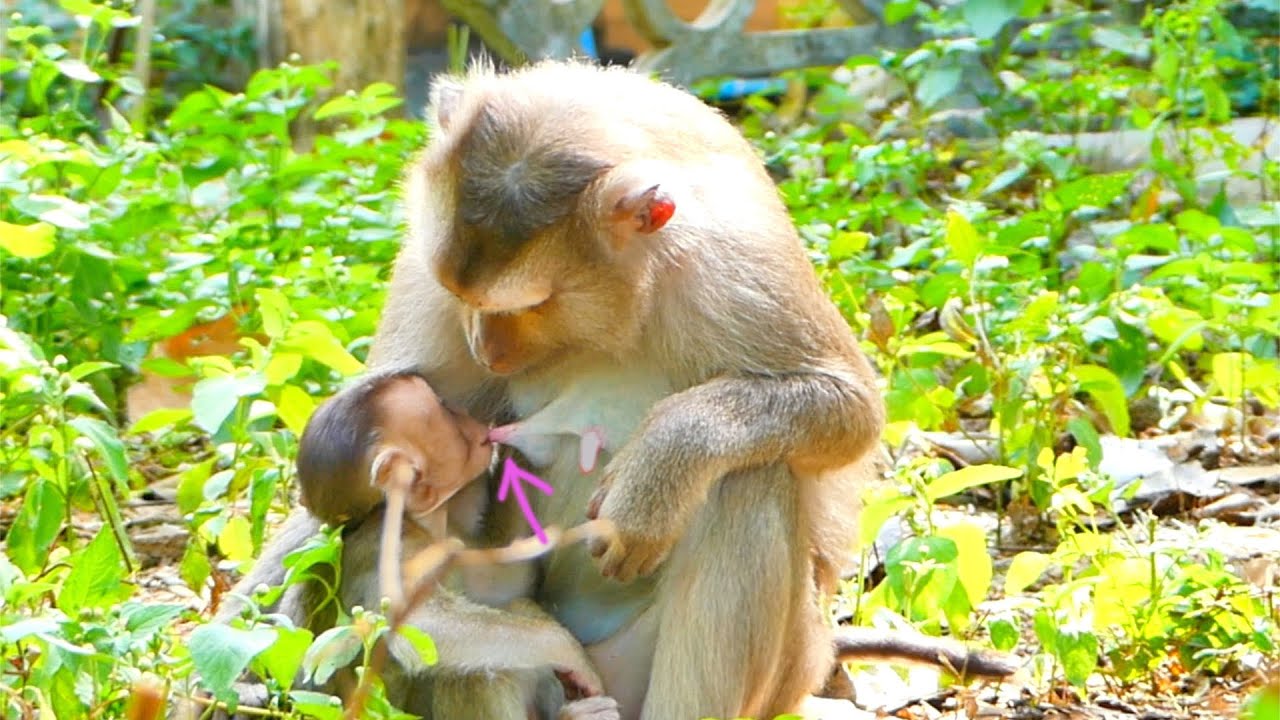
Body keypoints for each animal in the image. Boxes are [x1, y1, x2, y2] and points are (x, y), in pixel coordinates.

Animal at [236, 59, 1019, 720]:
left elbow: (845, 405)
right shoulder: (426, 273)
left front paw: (661, 471)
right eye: (464, 297)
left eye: (530, 305)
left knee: (749, 481)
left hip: (772, 667)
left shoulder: (731, 265)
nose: (486, 350)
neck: (626, 296)